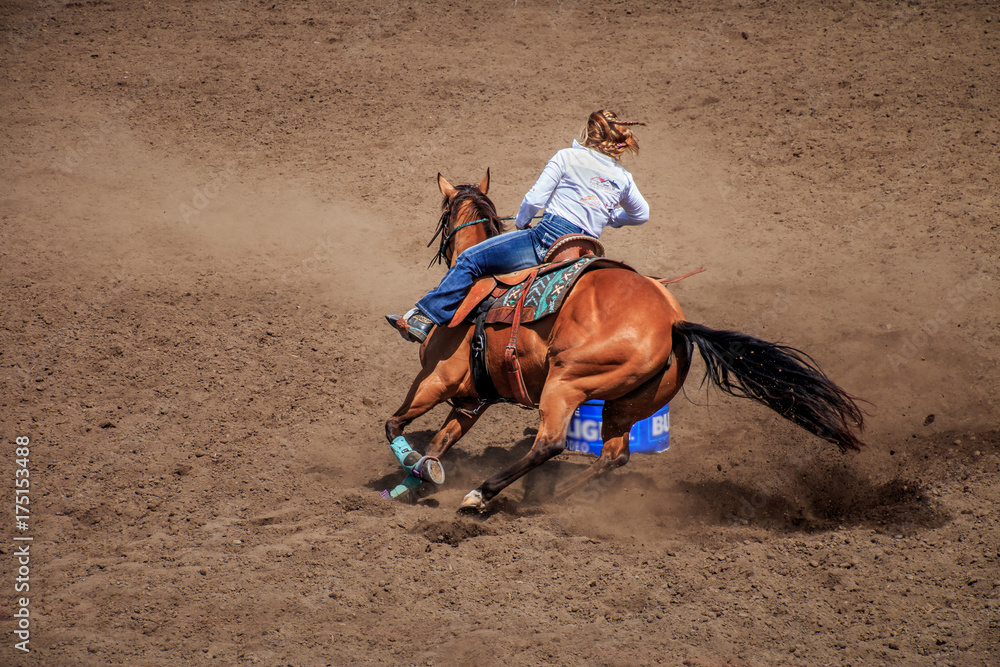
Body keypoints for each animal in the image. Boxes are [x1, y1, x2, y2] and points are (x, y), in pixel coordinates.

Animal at [384, 171, 865, 511]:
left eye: (444, 217)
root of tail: (673, 323)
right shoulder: (472, 399)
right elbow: (440, 443)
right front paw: (418, 479)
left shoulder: (436, 379)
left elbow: (394, 424)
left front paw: (411, 469)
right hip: (627, 402)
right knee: (613, 455)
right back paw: (551, 498)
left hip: (566, 382)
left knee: (551, 444)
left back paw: (482, 496)